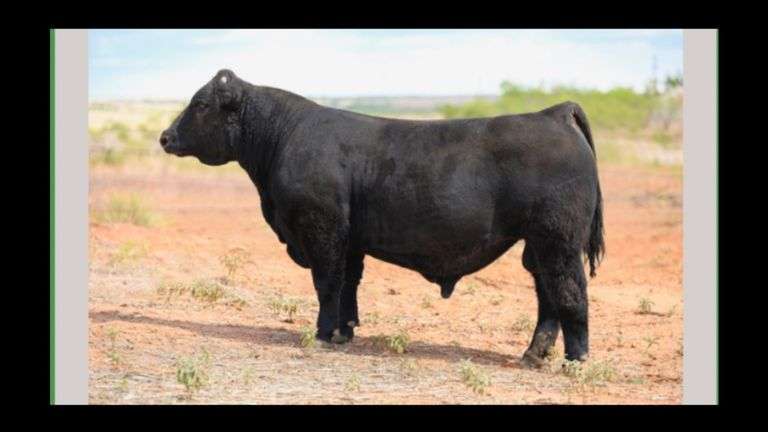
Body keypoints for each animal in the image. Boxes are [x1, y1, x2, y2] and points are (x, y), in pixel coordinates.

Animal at [160, 69, 605, 366]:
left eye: (200, 104)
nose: (165, 137)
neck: (281, 137)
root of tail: (552, 113)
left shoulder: (321, 229)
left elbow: (327, 282)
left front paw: (322, 334)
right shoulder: (349, 239)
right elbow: (348, 284)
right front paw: (345, 331)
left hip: (558, 240)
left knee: (569, 290)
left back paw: (575, 359)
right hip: (539, 243)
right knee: (547, 294)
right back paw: (534, 354)